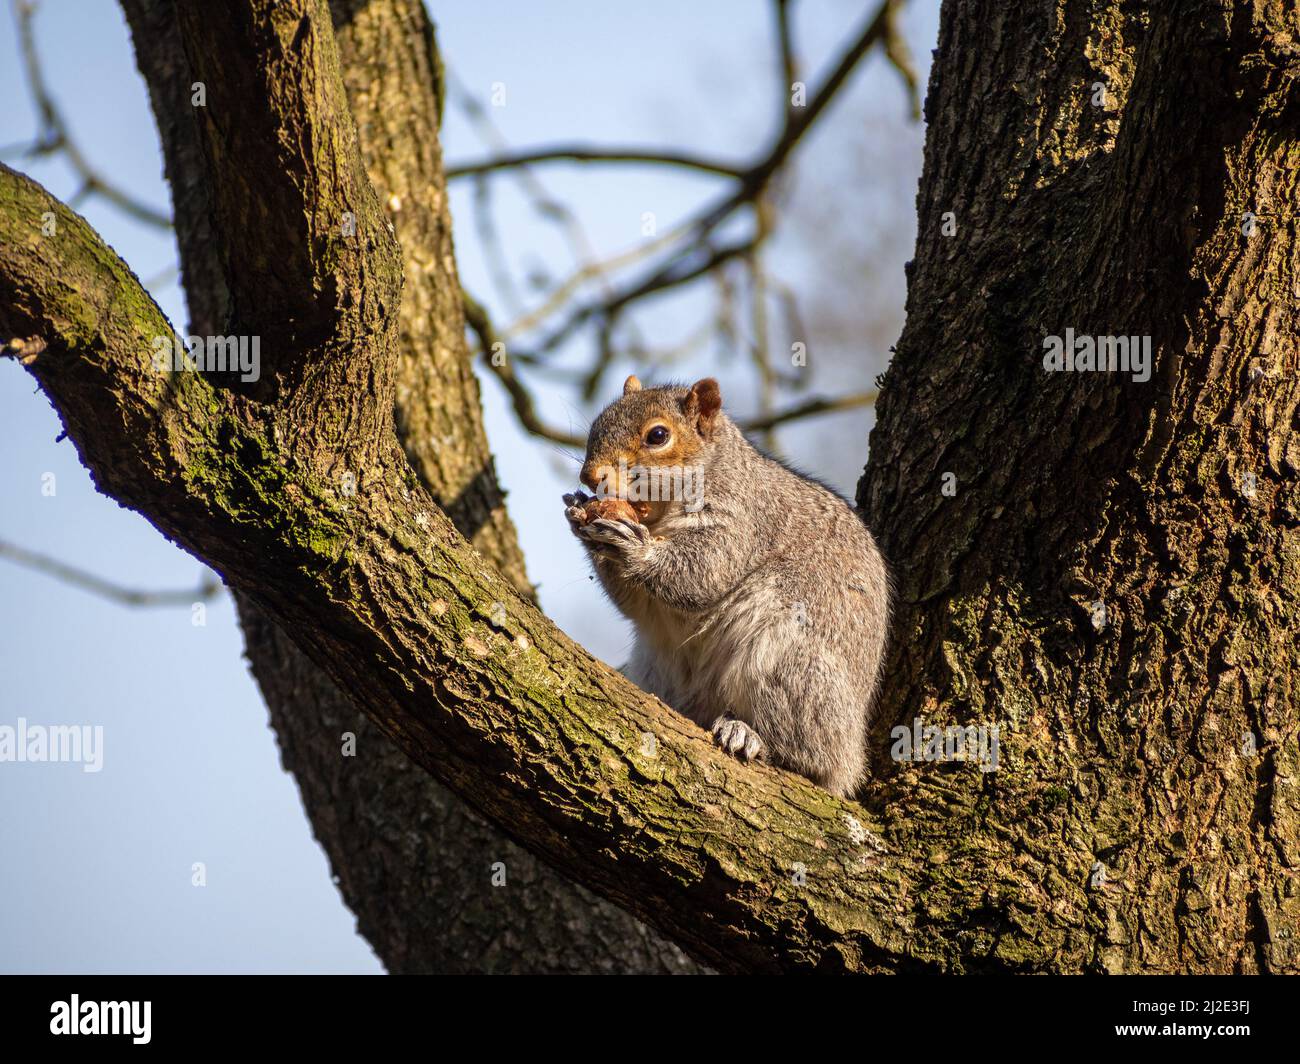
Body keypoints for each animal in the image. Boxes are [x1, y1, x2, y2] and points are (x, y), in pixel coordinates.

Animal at [563, 375, 890, 797]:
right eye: (597, 425)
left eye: (658, 435)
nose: (589, 477)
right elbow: (636, 605)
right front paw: (579, 514)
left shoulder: (743, 519)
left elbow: (704, 573)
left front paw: (635, 549)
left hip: (789, 665)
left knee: (811, 756)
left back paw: (750, 736)